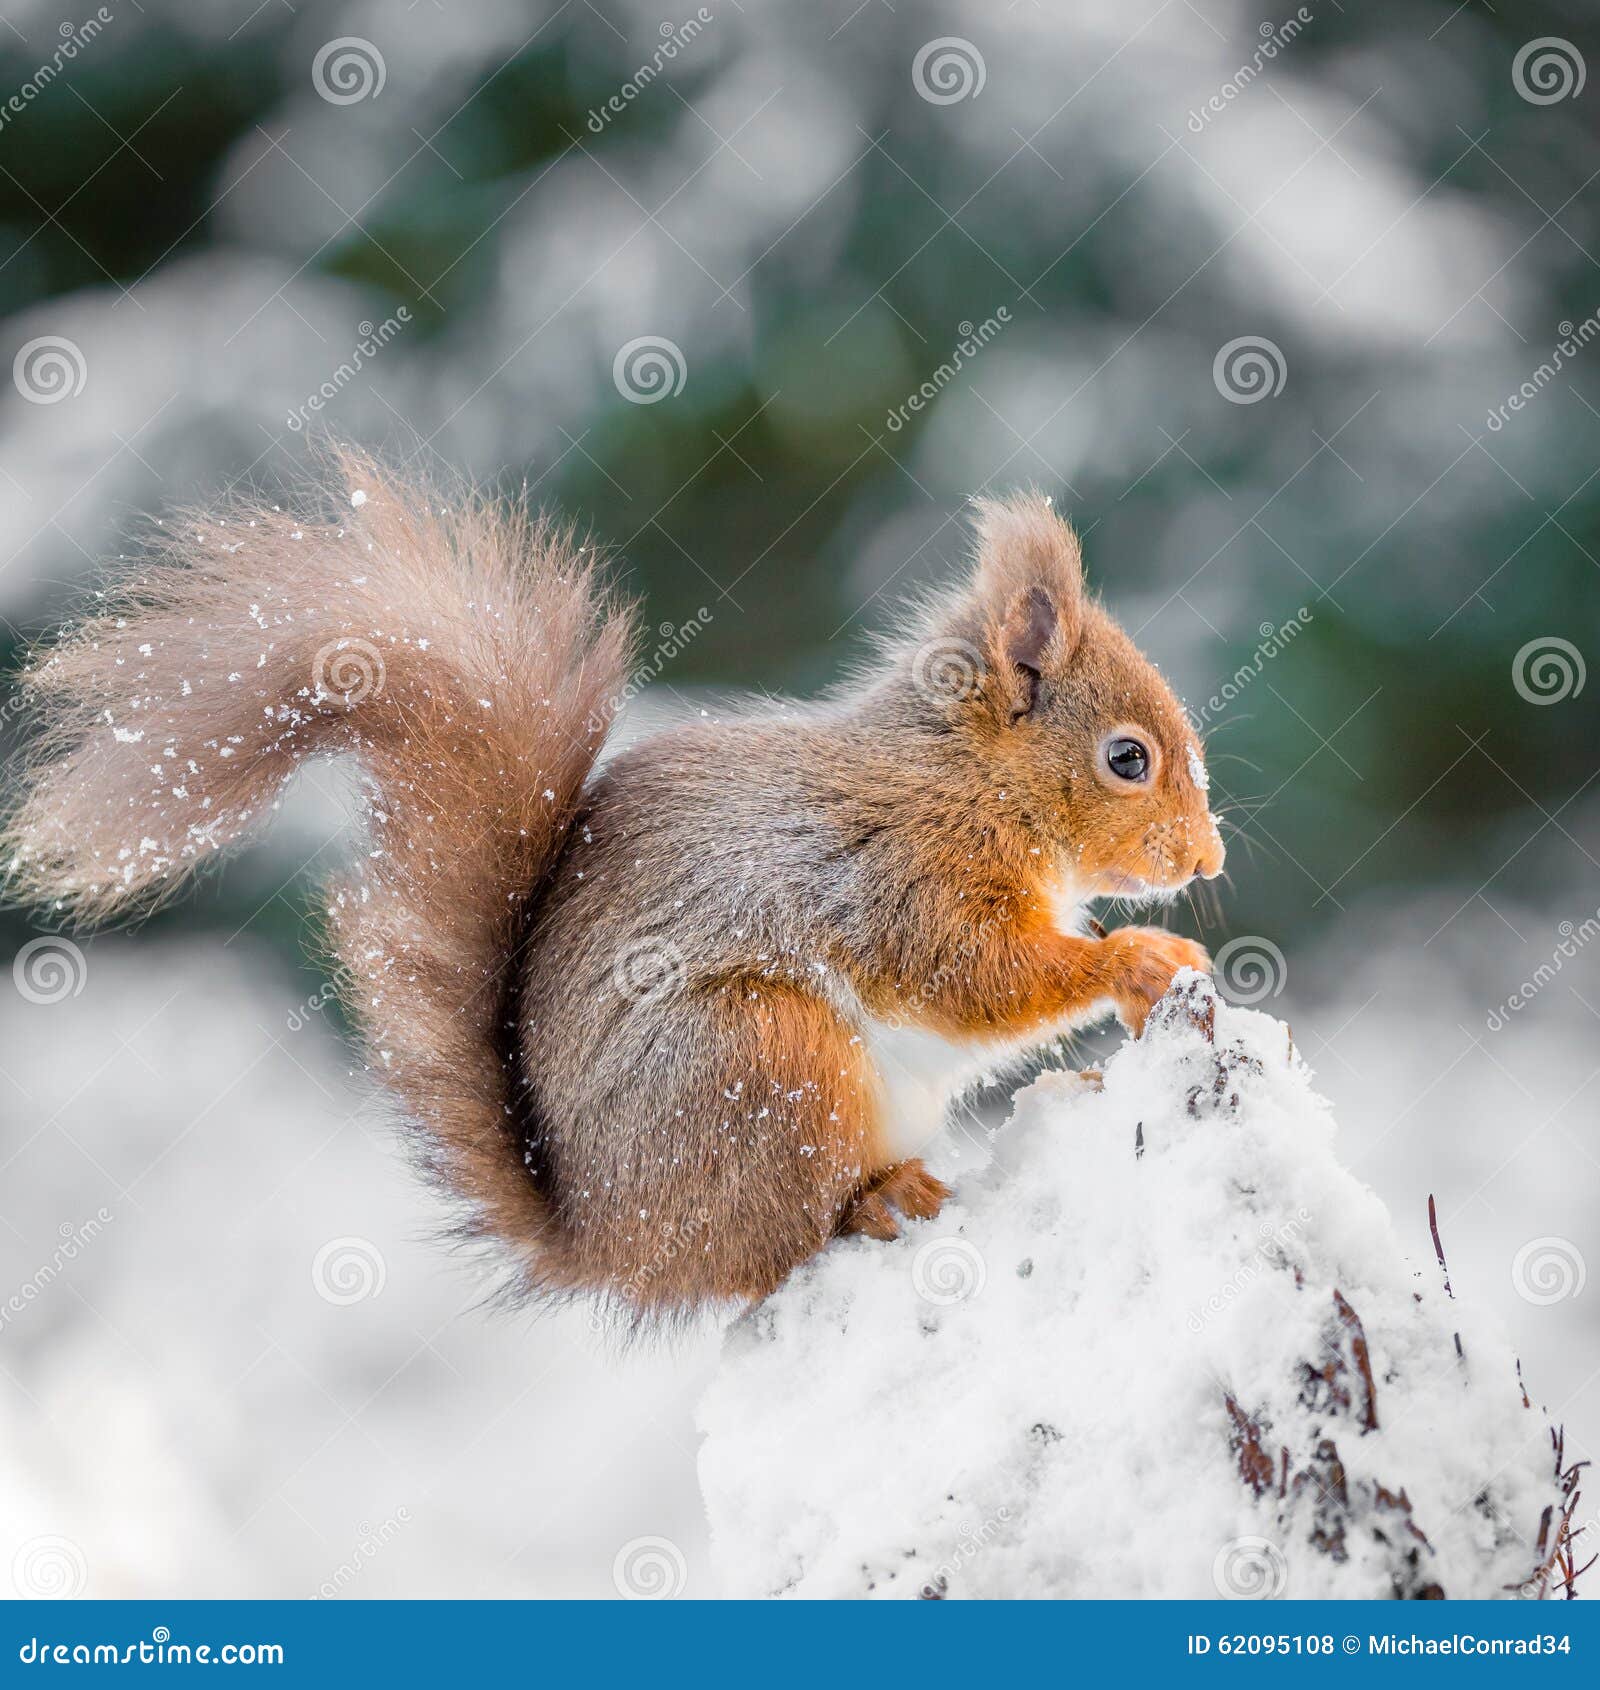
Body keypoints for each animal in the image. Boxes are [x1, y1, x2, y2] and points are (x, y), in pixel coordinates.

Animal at [3, 451, 1224, 1321]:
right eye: (1127, 758)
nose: (1208, 862)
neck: (971, 779)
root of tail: (611, 1245)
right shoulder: (897, 875)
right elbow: (975, 978)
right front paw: (1138, 961)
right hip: (761, 1062)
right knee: (776, 1248)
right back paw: (876, 1199)